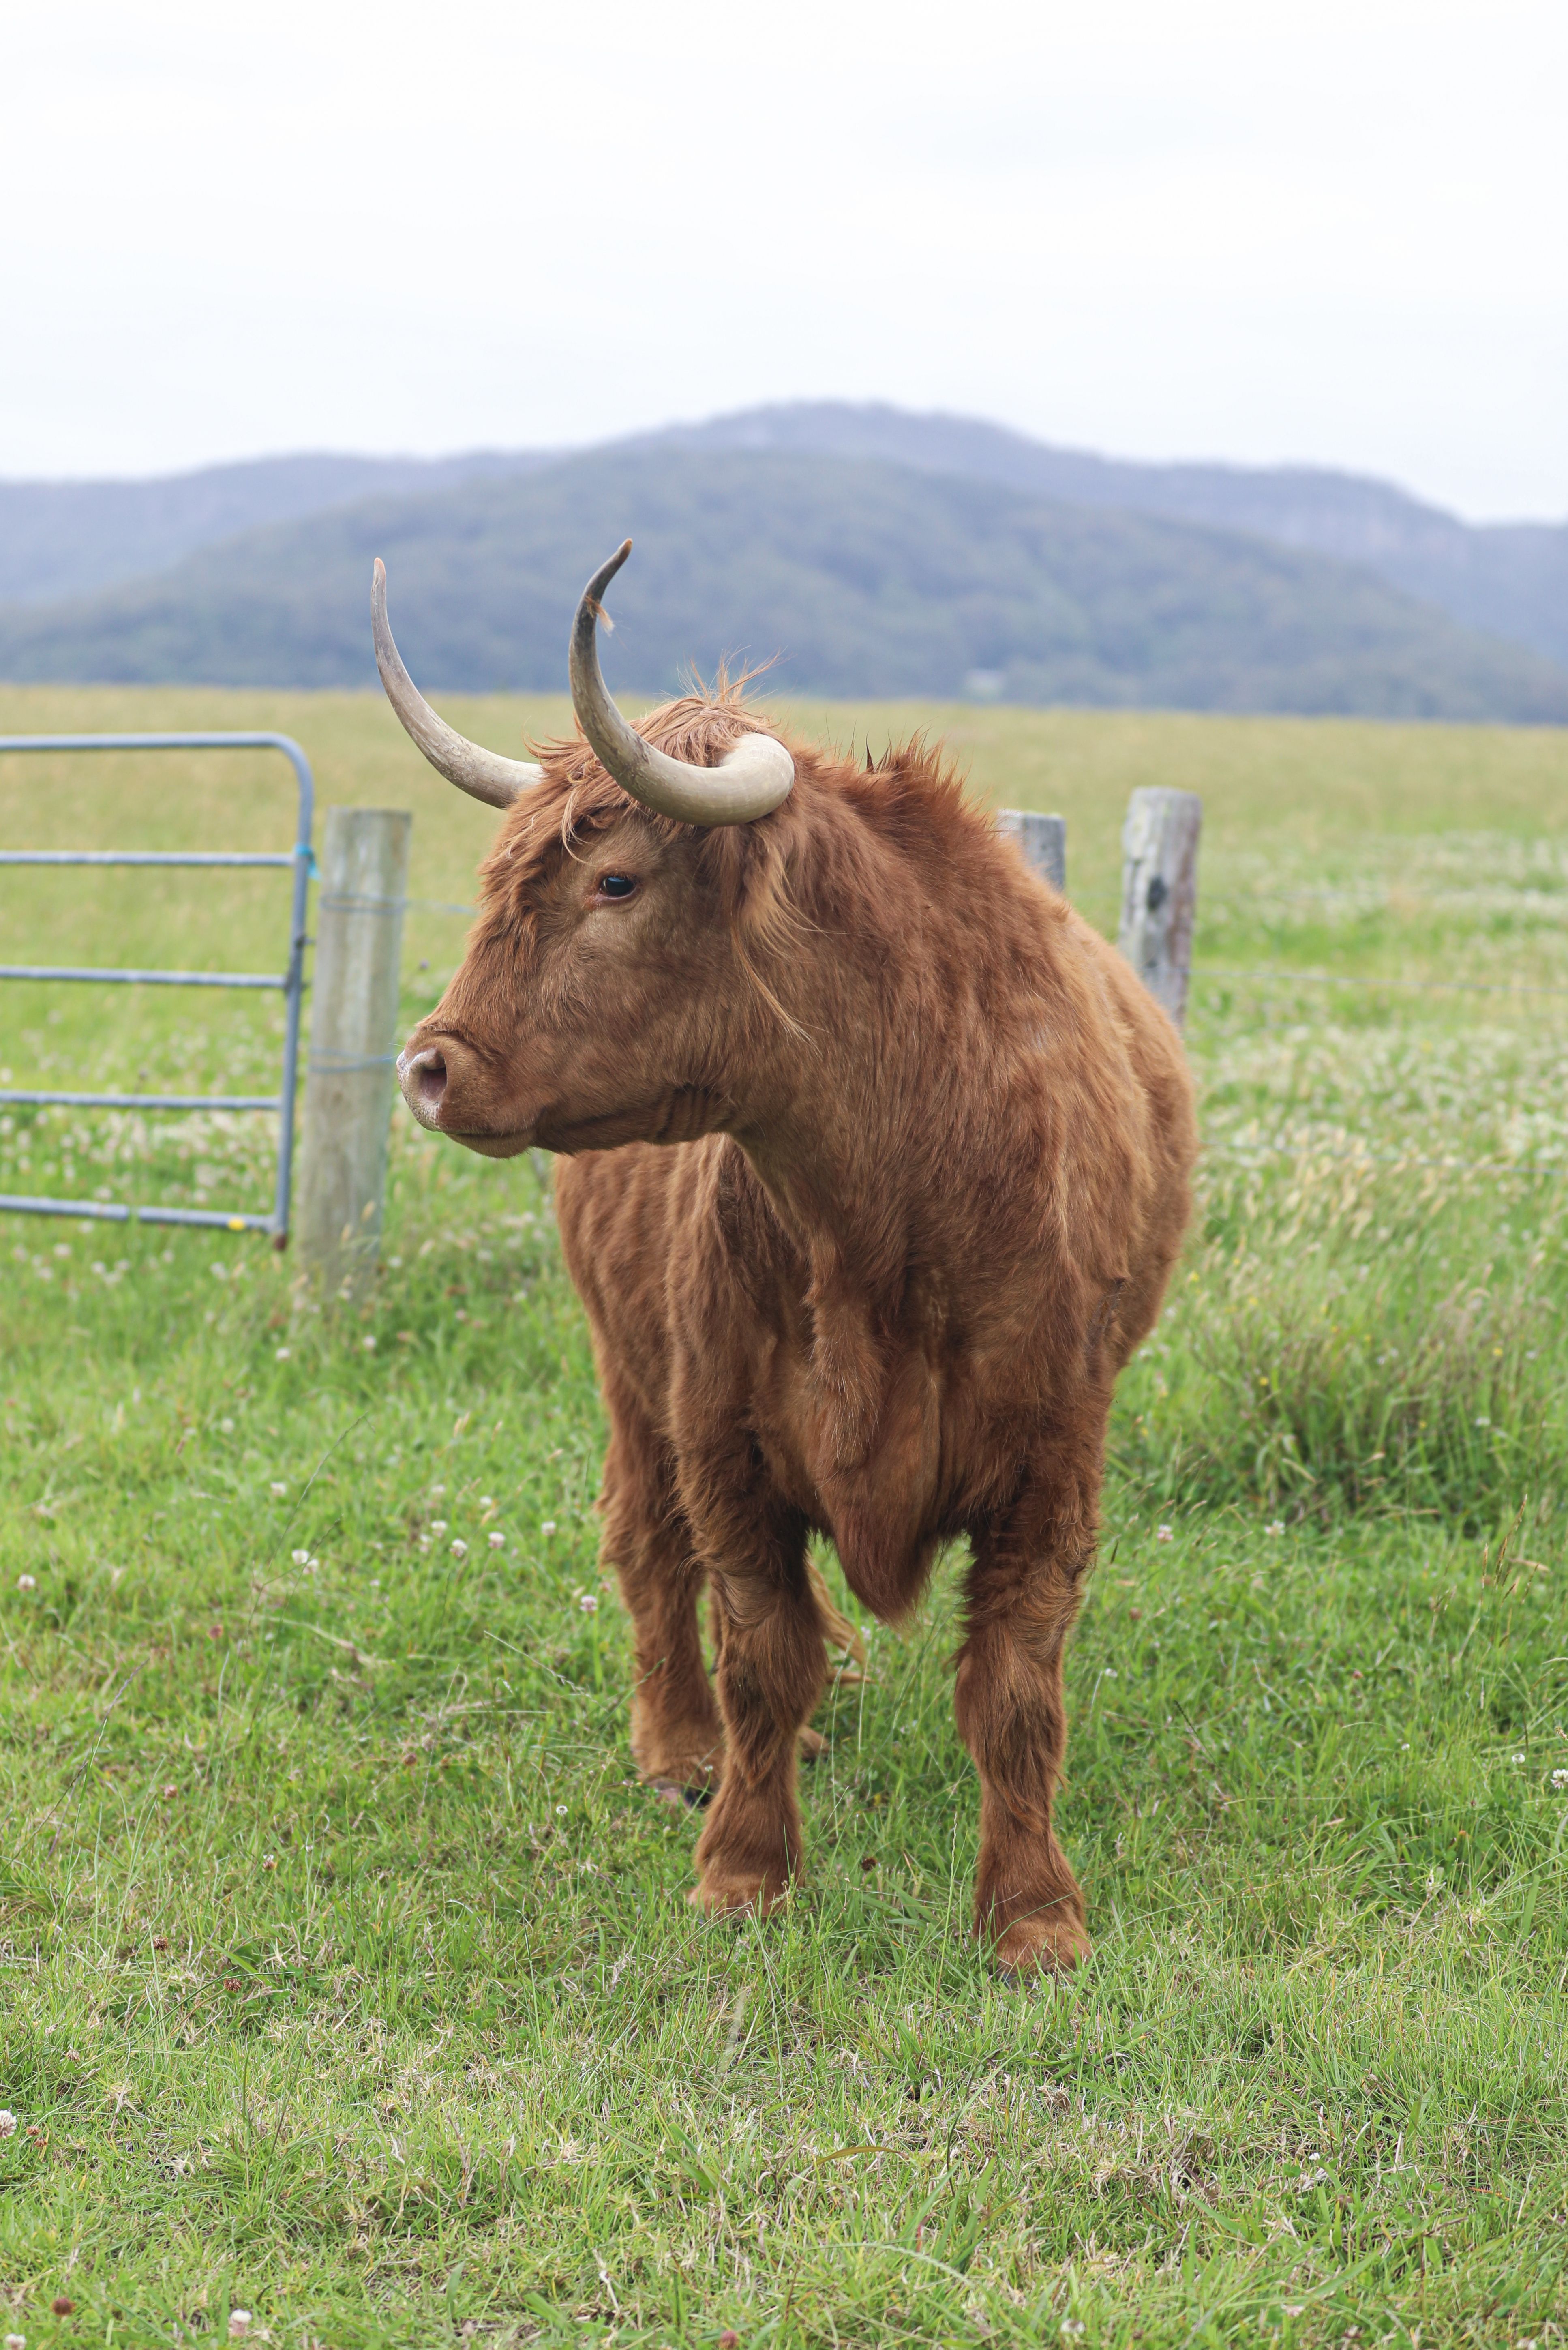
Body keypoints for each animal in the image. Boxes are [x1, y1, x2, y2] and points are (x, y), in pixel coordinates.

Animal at [375, 542, 1197, 1973]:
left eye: (614, 881)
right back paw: (678, 1747)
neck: (893, 1200)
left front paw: (1032, 1914)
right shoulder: (724, 1429)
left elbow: (1012, 1687)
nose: (428, 1068)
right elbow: (761, 1647)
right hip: (626, 1366)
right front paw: (743, 1870)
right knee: (648, 1542)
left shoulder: (1054, 1453)